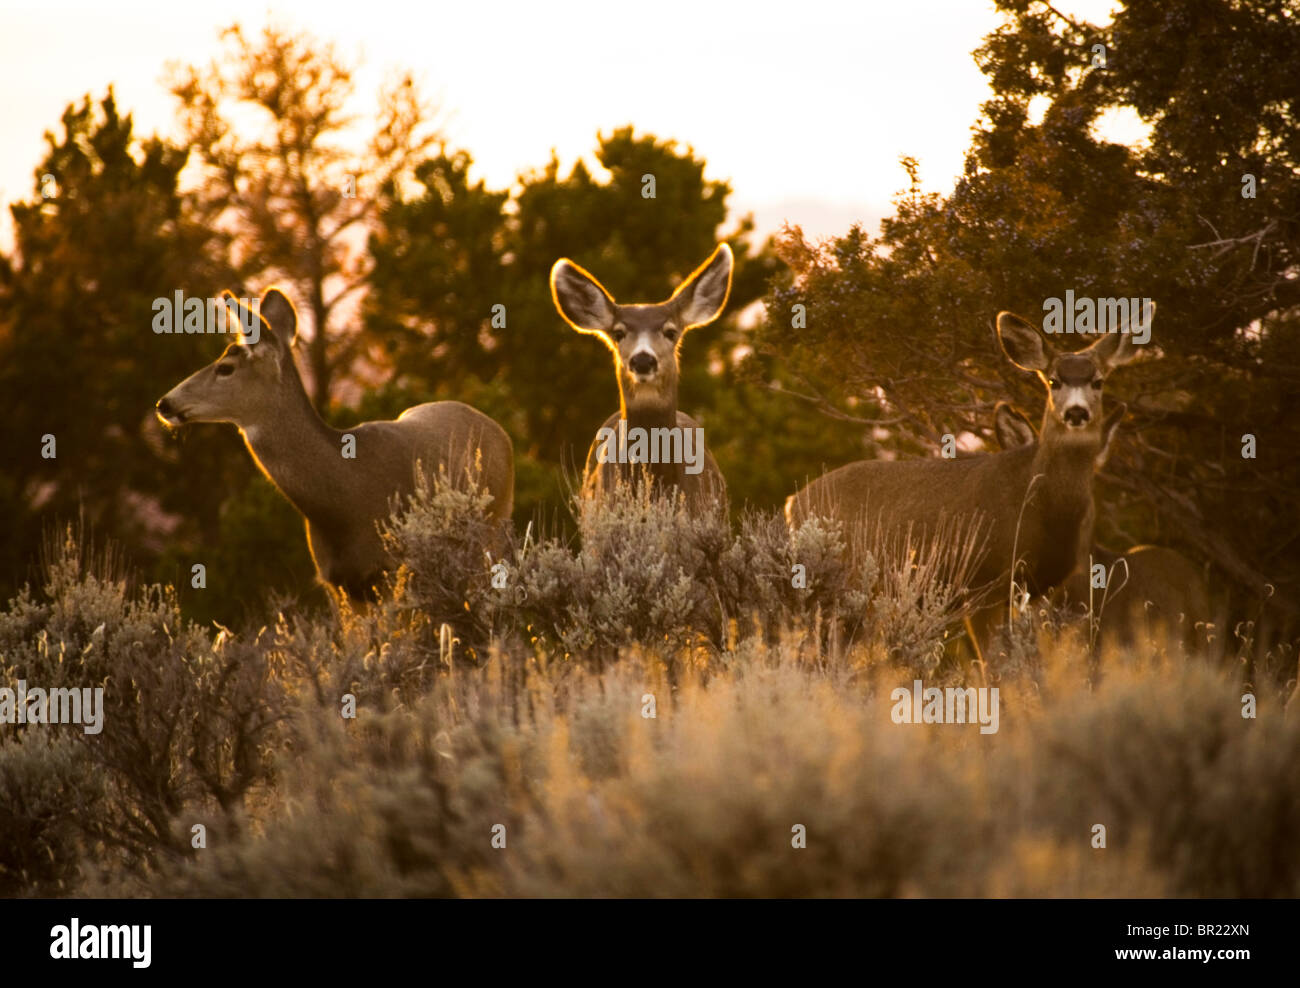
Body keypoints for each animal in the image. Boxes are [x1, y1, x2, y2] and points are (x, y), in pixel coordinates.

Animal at [155, 287, 515, 600]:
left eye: (226, 368)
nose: (164, 404)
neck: (343, 503)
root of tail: (496, 427)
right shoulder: (337, 582)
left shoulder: (395, 570)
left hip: (494, 528)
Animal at [784, 304, 1148, 667]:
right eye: (1053, 381)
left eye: (1098, 381)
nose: (1076, 412)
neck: (1039, 504)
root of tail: (793, 502)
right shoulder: (981, 584)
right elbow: (993, 663)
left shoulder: (1041, 589)